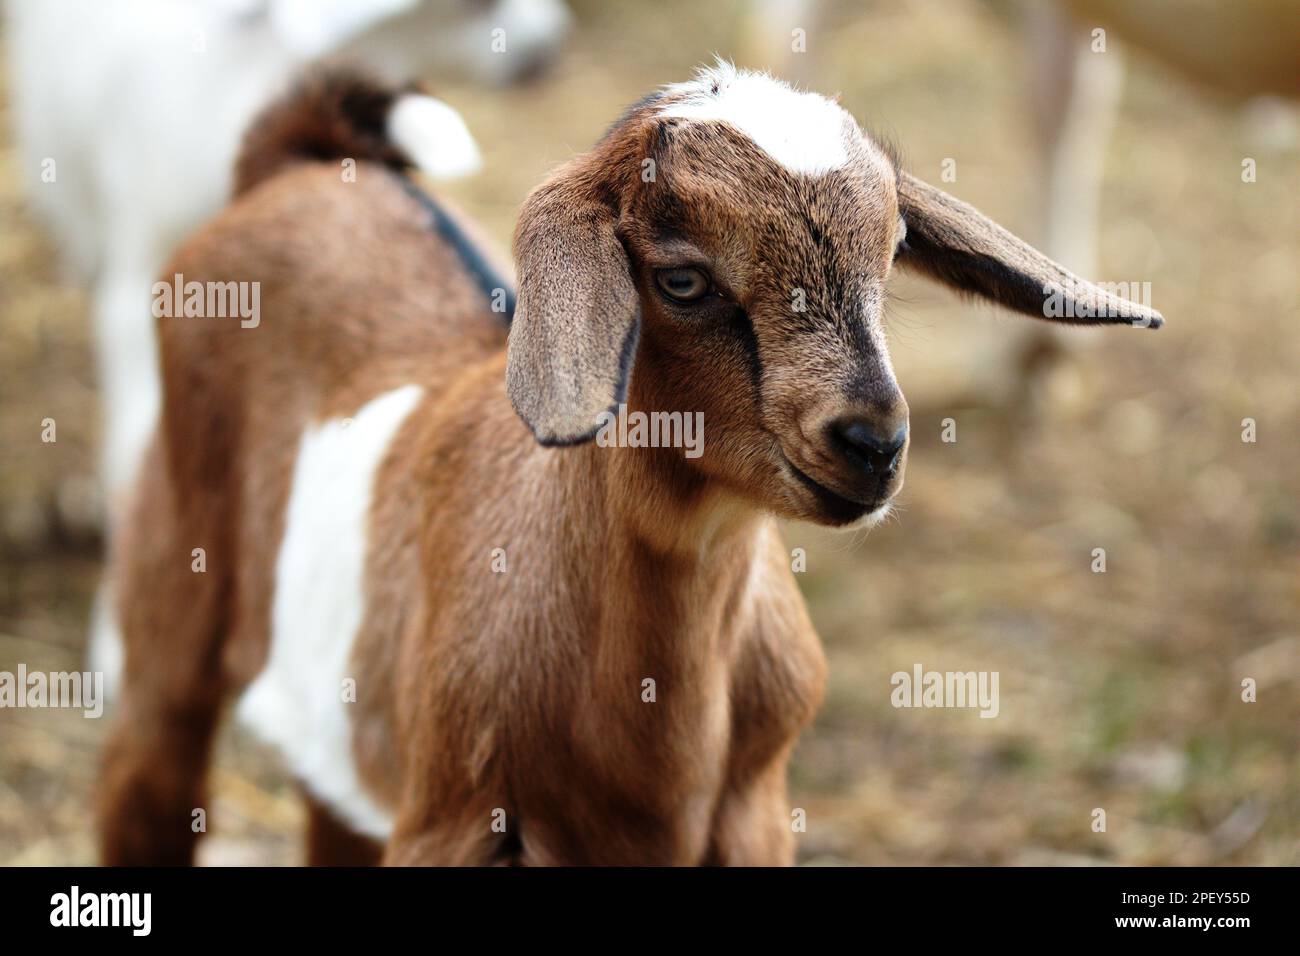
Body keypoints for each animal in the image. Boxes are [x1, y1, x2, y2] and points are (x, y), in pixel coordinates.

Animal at [99, 63, 1162, 866]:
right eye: (682, 278)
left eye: (893, 251)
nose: (872, 442)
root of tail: (301, 161)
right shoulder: (452, 818)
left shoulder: (755, 816)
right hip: (170, 597)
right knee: (146, 774)